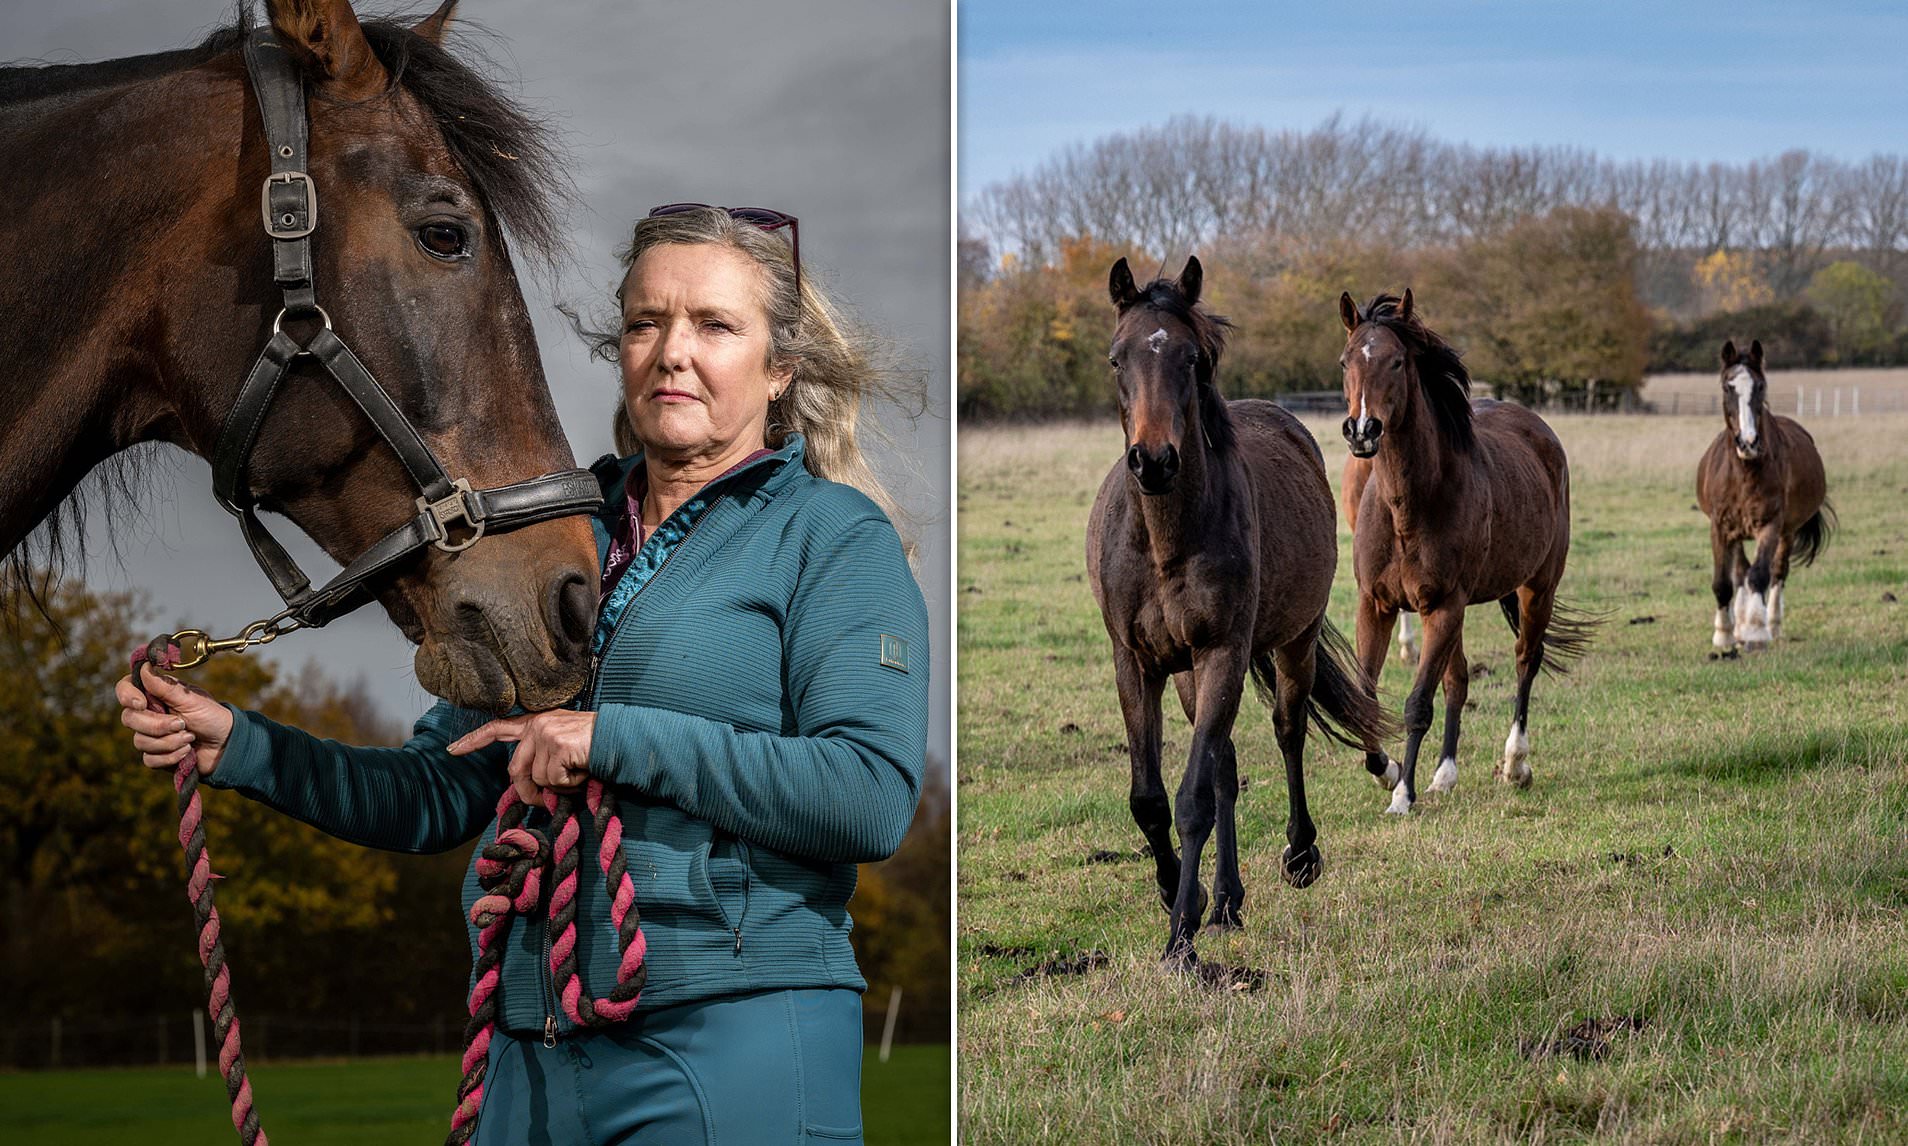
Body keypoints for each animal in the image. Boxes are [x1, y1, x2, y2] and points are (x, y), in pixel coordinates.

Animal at [1088, 256, 1392, 964]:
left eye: (1192, 358)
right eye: (1117, 357)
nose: (1154, 460)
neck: (1165, 539)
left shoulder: (1223, 649)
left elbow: (1192, 798)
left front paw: (1181, 937)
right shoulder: (1136, 663)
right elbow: (1151, 799)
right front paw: (1186, 895)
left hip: (1289, 642)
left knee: (1287, 731)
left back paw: (1299, 855)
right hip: (1190, 675)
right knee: (1225, 764)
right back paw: (1227, 899)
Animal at [1338, 290, 1598, 815]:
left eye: (1397, 361)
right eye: (1345, 360)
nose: (1362, 430)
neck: (1409, 506)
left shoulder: (1443, 606)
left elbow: (1417, 703)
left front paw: (1403, 794)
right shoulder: (1377, 605)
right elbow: (1367, 698)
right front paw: (1389, 770)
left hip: (1536, 588)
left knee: (1525, 660)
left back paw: (1516, 765)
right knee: (1458, 679)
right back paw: (1445, 773)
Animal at [1696, 339, 1833, 652]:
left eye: (1760, 386)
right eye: (1728, 387)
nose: (1748, 443)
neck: (1745, 472)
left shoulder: (1770, 524)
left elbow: (1760, 575)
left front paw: (1757, 632)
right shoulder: (1720, 527)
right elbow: (1723, 582)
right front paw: (1724, 634)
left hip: (1788, 531)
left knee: (1776, 573)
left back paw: (1771, 624)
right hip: (1737, 533)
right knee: (1740, 573)